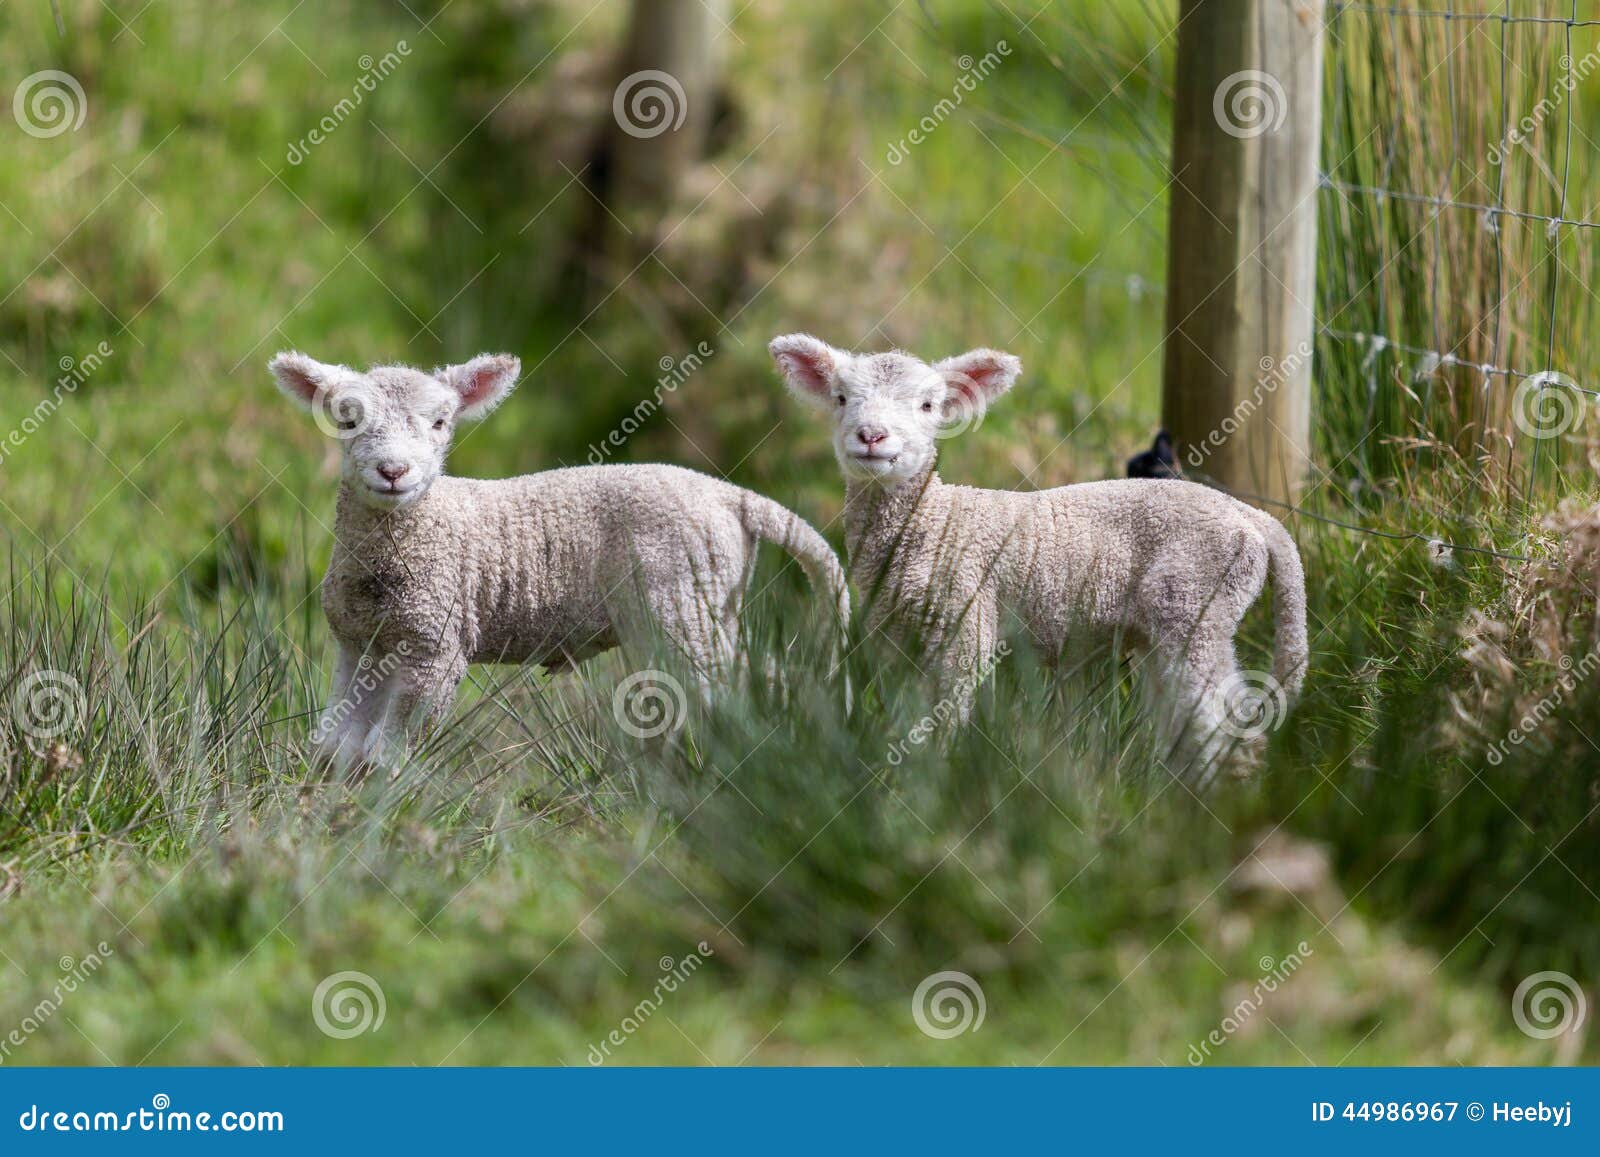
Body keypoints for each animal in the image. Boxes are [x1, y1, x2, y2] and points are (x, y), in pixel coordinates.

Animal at [269, 350, 849, 771]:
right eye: (346, 421)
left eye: (440, 423)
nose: (393, 471)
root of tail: (732, 497)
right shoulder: (360, 643)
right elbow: (337, 745)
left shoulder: (436, 645)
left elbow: (385, 753)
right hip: (708, 606)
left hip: (683, 604)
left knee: (725, 691)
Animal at [768, 333, 1308, 777]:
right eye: (840, 399)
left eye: (927, 405)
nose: (872, 437)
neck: (934, 520)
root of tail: (1253, 518)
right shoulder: (895, 637)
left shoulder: (965, 620)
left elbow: (944, 717)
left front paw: (933, 774)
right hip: (1181, 624)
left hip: (1196, 602)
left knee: (1221, 724)